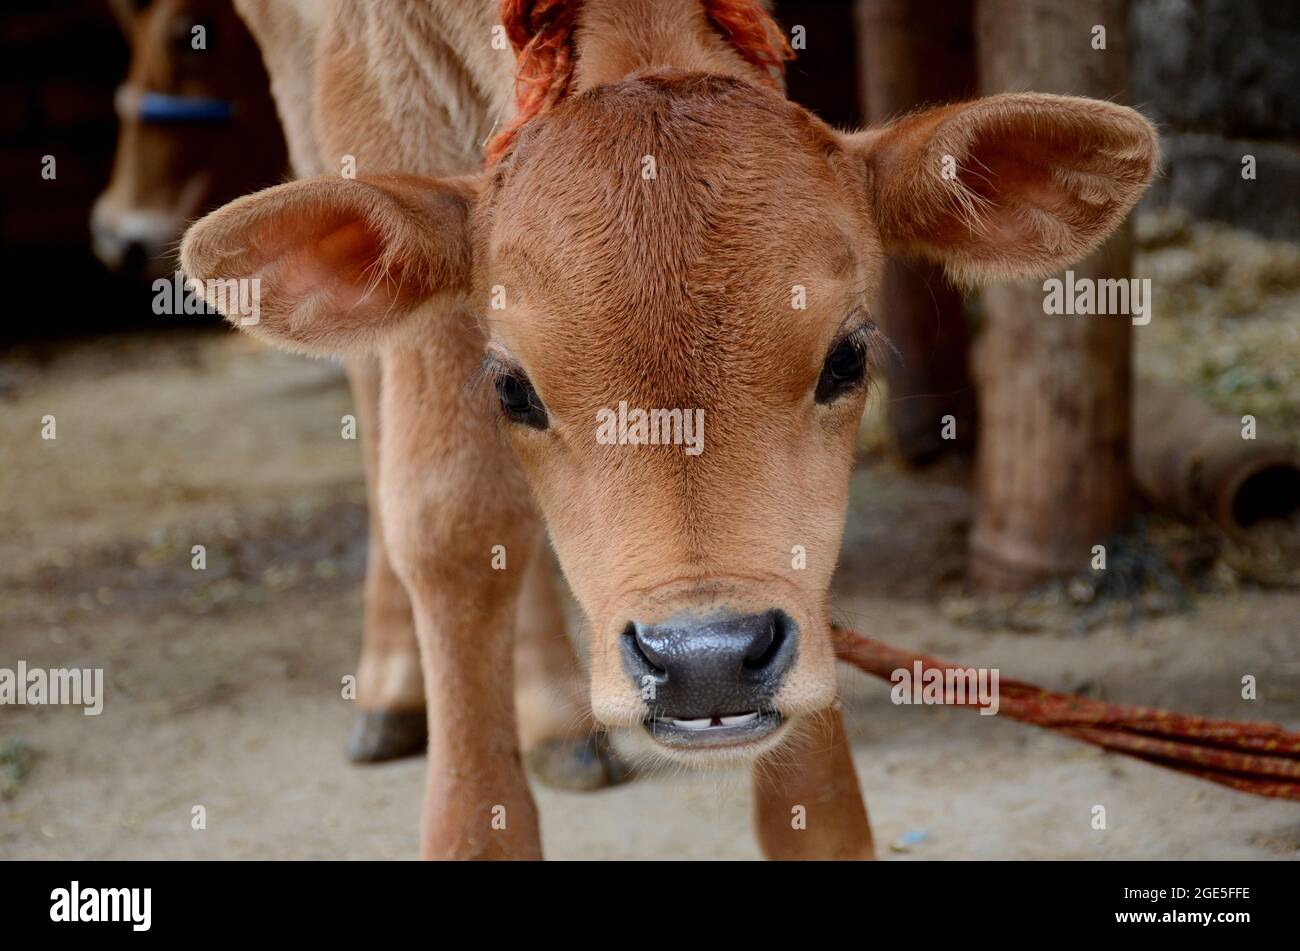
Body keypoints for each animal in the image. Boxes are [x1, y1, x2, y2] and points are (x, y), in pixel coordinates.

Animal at [182, 0, 1158, 858]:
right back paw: (394, 684)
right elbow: (450, 517)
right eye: (514, 389)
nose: (704, 660)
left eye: (847, 358)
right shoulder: (376, 92)